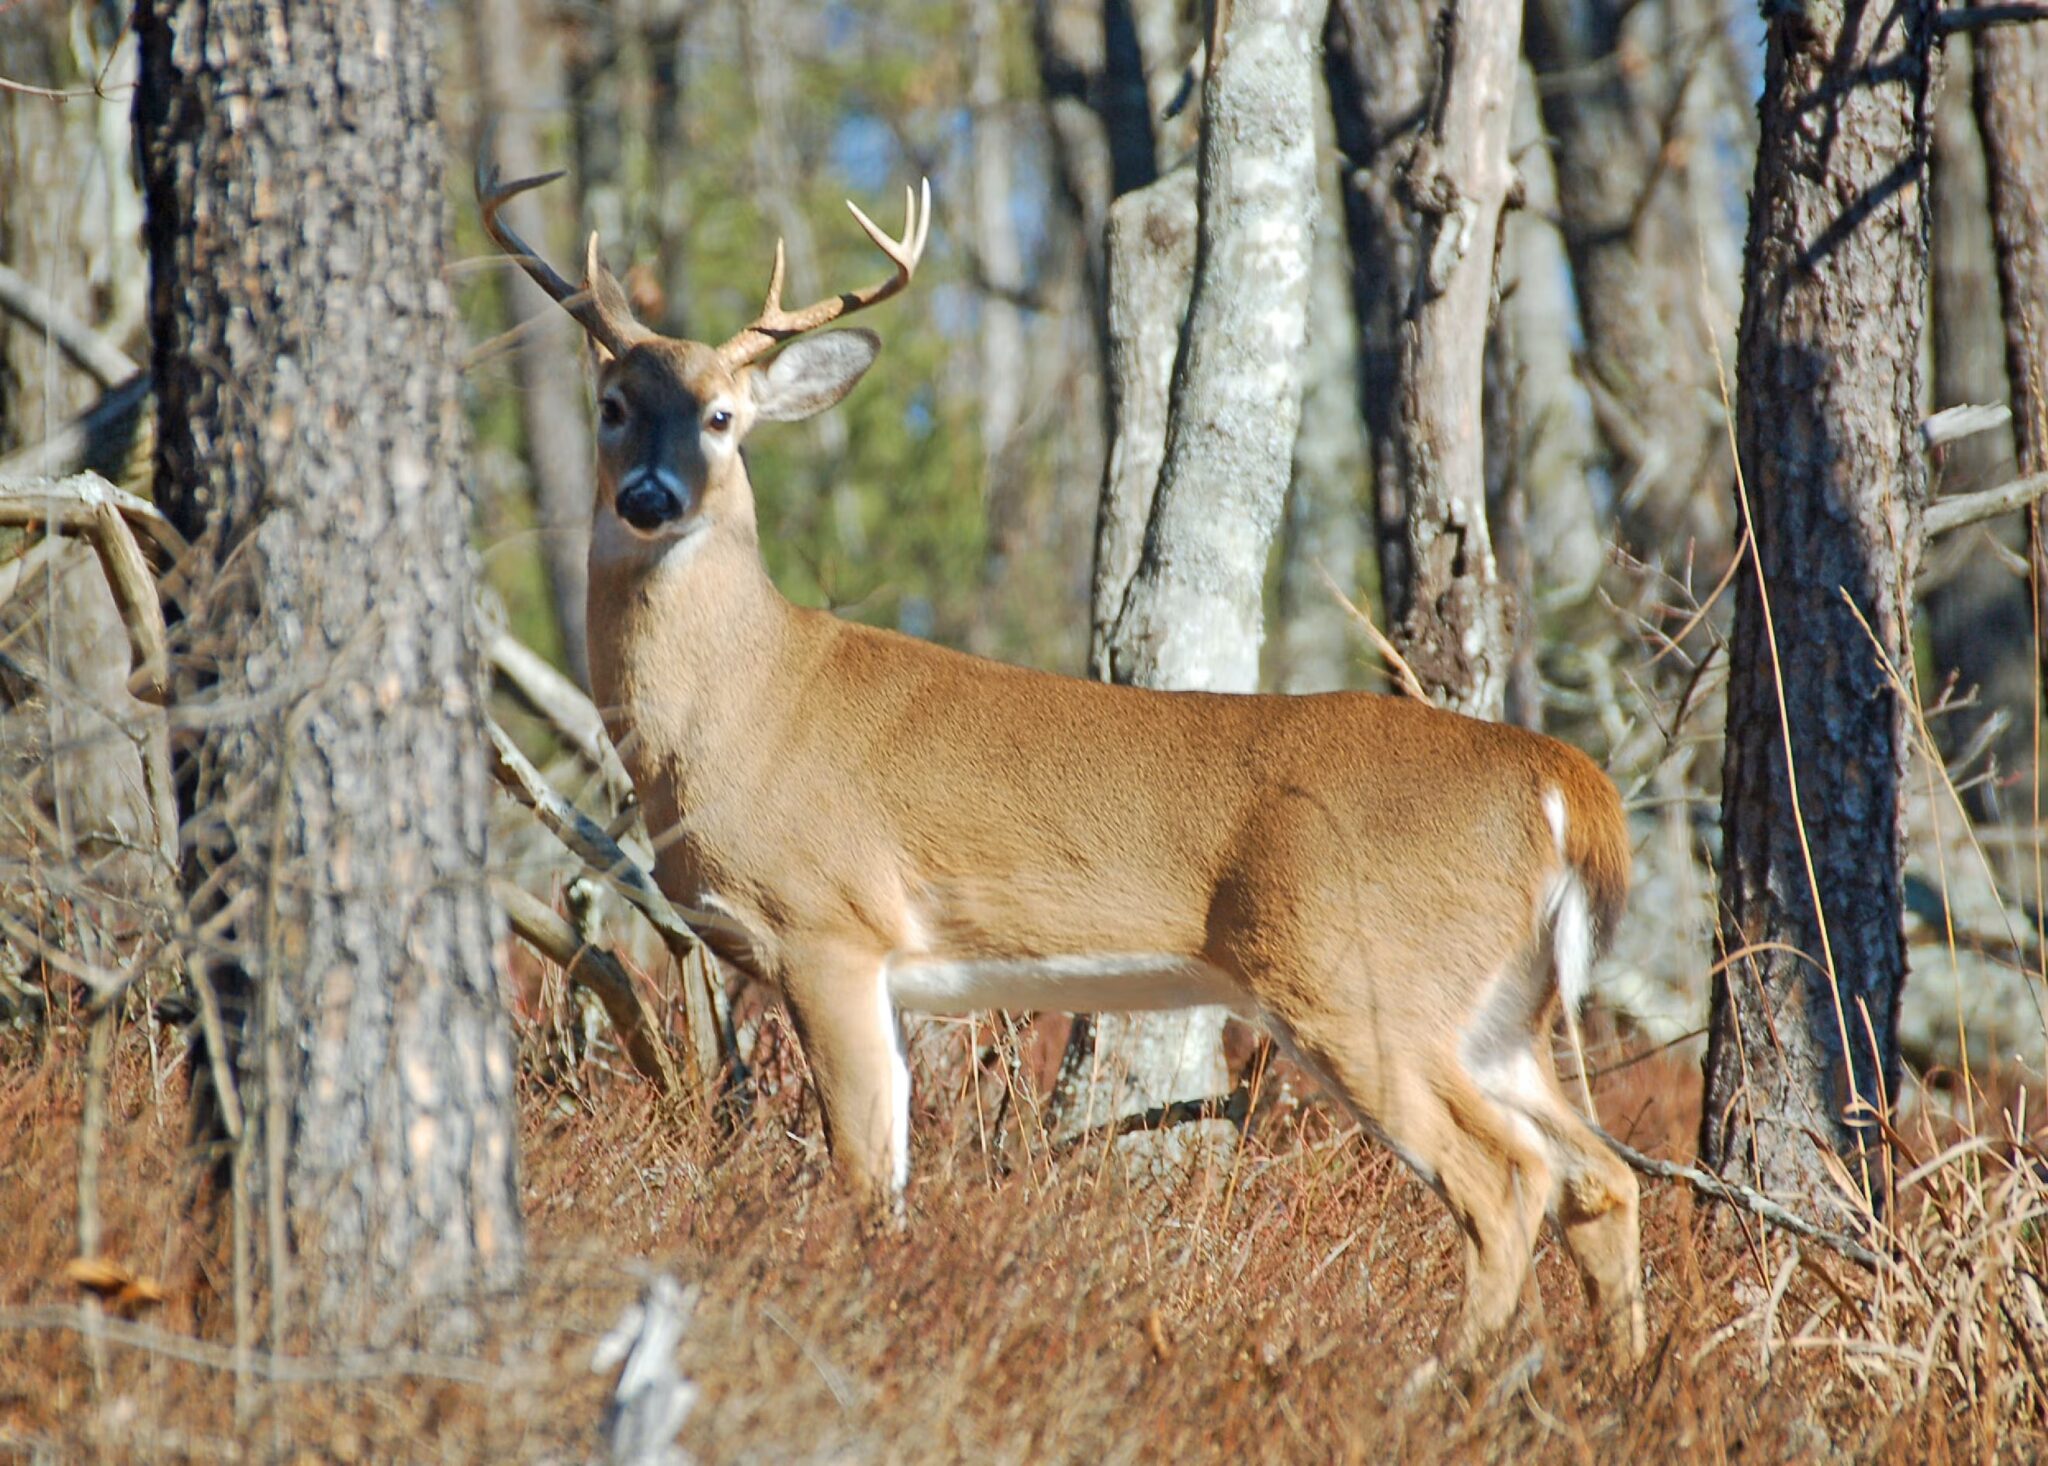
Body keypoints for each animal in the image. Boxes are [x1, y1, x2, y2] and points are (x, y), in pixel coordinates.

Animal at [477, 161, 1648, 1377]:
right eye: (613, 405)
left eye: (721, 416)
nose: (649, 498)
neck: (745, 704)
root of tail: (1565, 784)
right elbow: (890, 1166)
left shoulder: (828, 925)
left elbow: (862, 1171)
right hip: (1500, 1006)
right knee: (1603, 1176)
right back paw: (1624, 1381)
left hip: (1363, 977)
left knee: (1508, 1180)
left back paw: (1433, 1382)